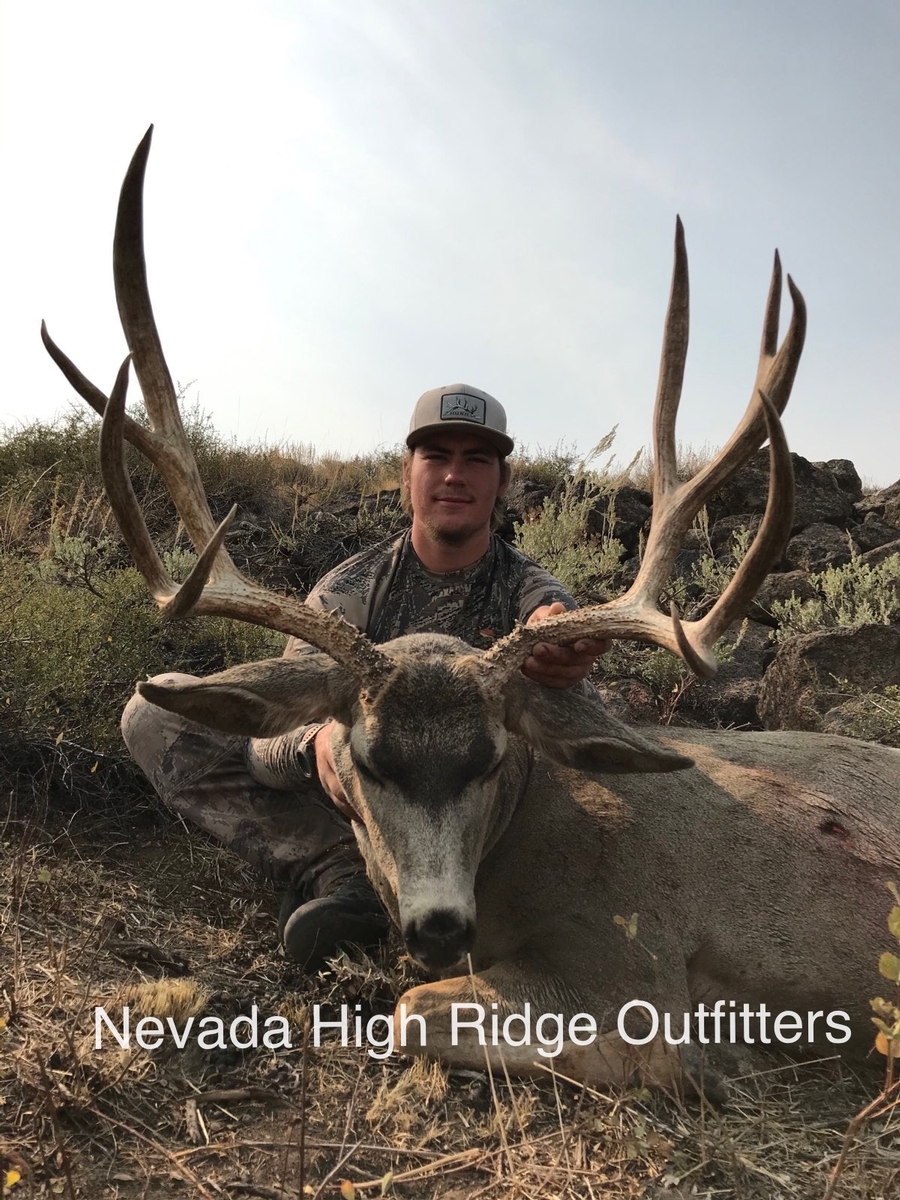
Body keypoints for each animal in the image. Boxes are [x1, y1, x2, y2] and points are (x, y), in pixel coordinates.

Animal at [43, 127, 900, 1095]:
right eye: (366, 762)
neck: (521, 839)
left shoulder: (633, 969)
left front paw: (715, 1067)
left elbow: (412, 1013)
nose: (439, 926)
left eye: (491, 757)